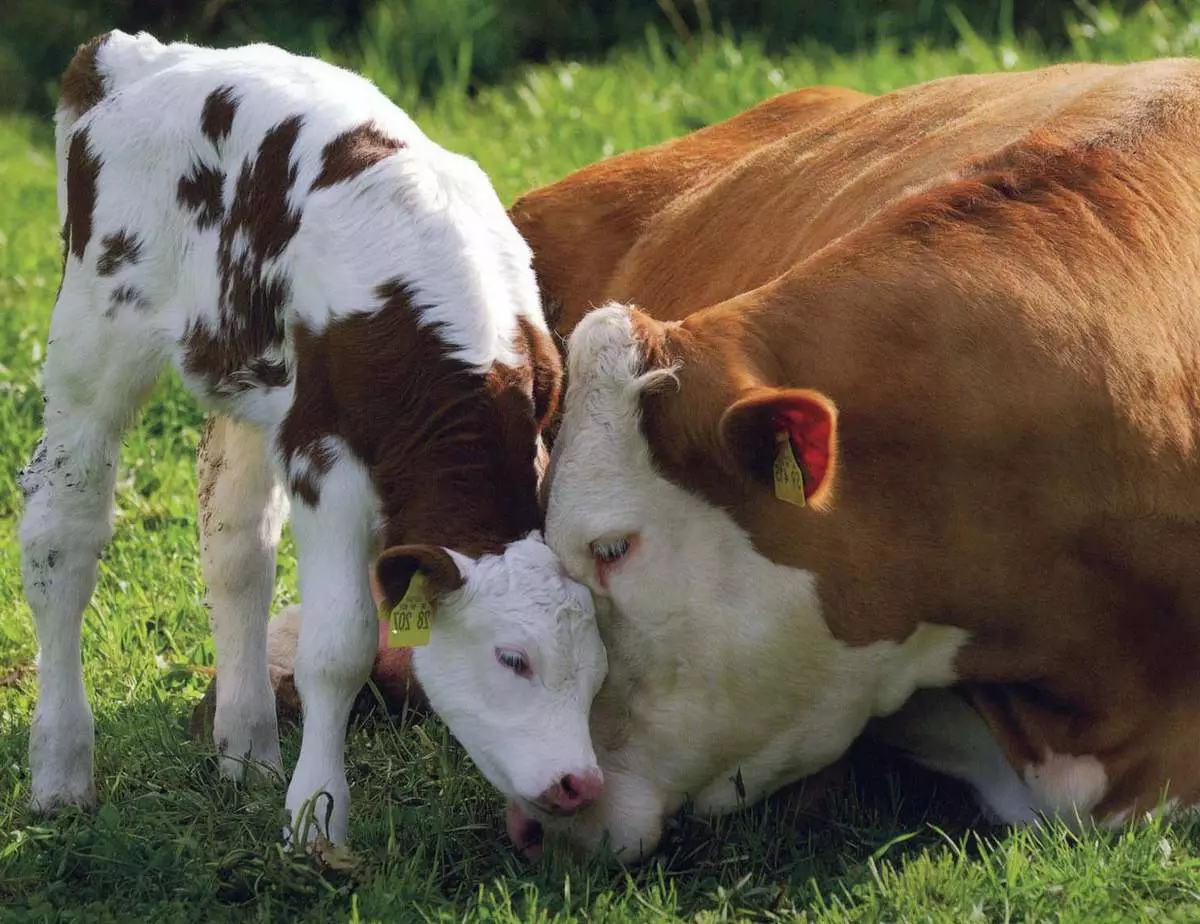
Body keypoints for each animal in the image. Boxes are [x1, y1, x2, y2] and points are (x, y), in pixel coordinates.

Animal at [14, 32, 604, 844]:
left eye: (601, 673)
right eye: (512, 659)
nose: (580, 783)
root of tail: (132, 55)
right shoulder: (326, 460)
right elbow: (339, 648)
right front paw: (316, 819)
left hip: (246, 375)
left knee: (234, 546)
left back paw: (247, 749)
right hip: (95, 329)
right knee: (60, 532)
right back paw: (61, 773)